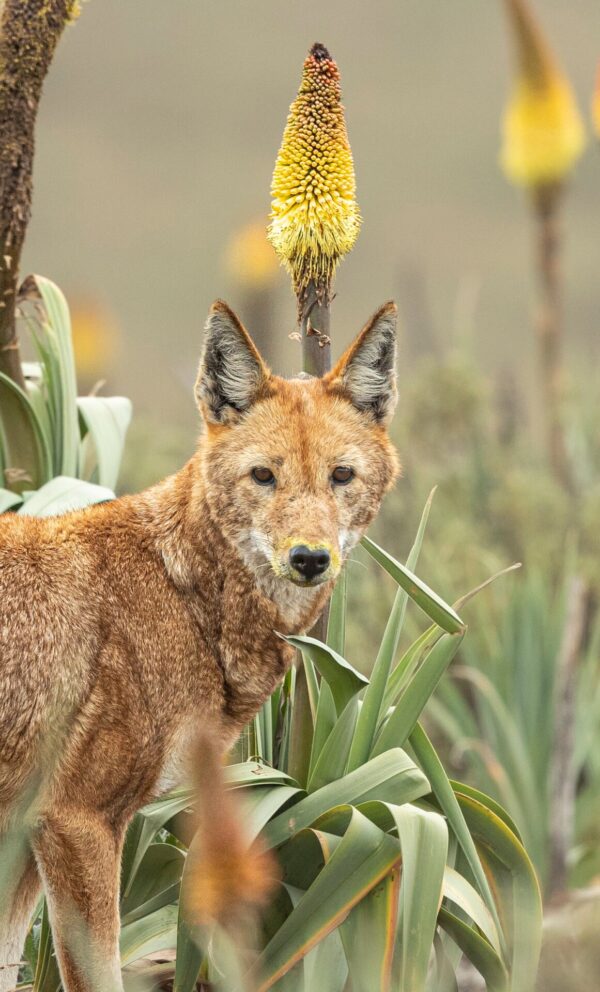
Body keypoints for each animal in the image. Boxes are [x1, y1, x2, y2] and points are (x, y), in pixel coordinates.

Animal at [0, 299, 399, 991]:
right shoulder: (76, 822)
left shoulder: (28, 838)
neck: (178, 590)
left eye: (340, 476)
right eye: (264, 476)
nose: (309, 559)